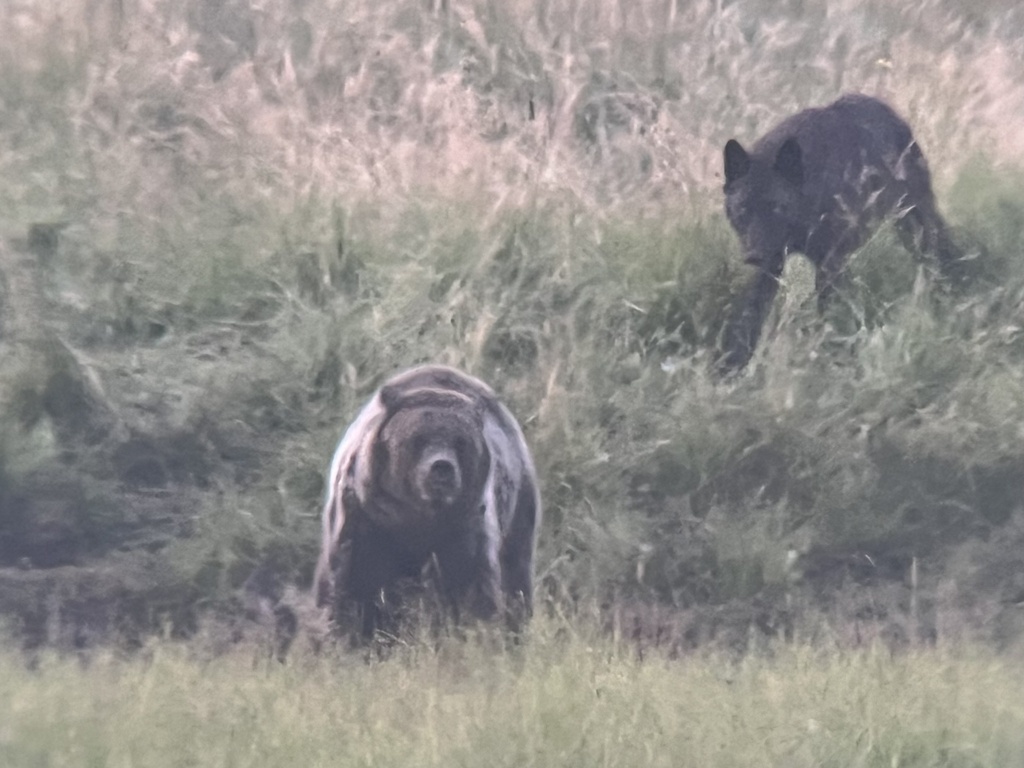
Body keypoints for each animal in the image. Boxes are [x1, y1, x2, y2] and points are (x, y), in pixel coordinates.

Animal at [313, 365, 541, 642]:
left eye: (460, 442)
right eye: (417, 439)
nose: (442, 467)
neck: (416, 517)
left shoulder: (463, 525)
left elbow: (470, 584)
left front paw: (474, 632)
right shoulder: (364, 520)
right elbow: (352, 584)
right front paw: (349, 636)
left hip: (518, 507)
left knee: (515, 574)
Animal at [719, 94, 961, 371]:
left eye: (778, 207)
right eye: (743, 208)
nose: (754, 255)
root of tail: (880, 105)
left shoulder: (829, 262)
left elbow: (828, 312)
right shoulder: (773, 267)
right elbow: (750, 317)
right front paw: (732, 368)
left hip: (914, 222)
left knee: (941, 253)